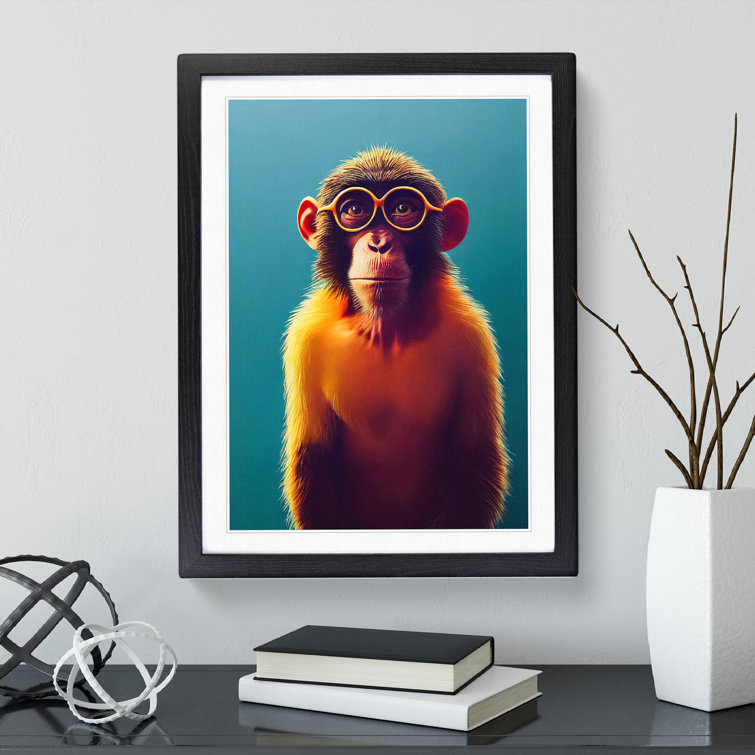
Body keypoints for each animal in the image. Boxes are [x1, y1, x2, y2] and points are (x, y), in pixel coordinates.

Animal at [282, 146, 508, 530]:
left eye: (403, 209)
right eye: (354, 210)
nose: (378, 243)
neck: (386, 330)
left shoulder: (471, 335)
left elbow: (474, 460)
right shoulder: (307, 336)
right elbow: (313, 461)